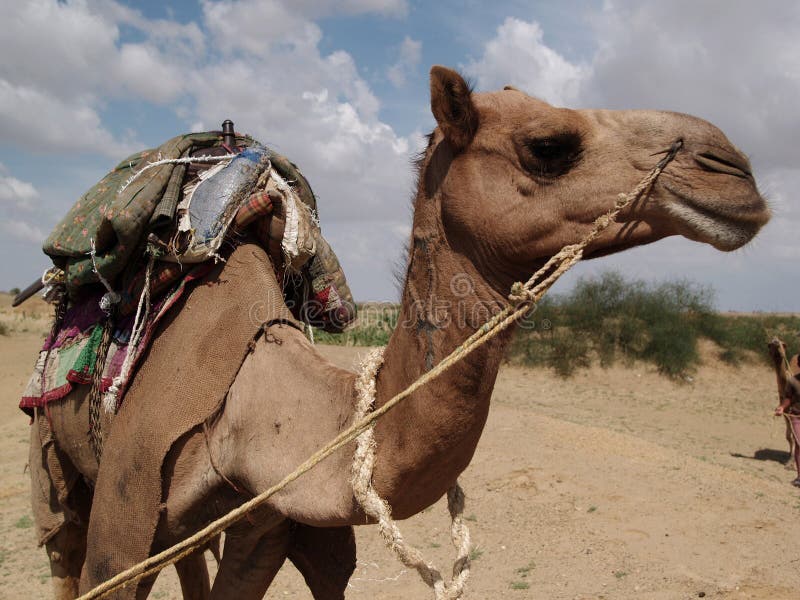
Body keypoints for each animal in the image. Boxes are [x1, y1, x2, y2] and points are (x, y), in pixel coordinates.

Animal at [30, 66, 770, 599]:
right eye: (549, 145)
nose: (734, 169)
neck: (246, 409)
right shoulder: (123, 533)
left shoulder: (262, 530)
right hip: (60, 466)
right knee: (62, 545)